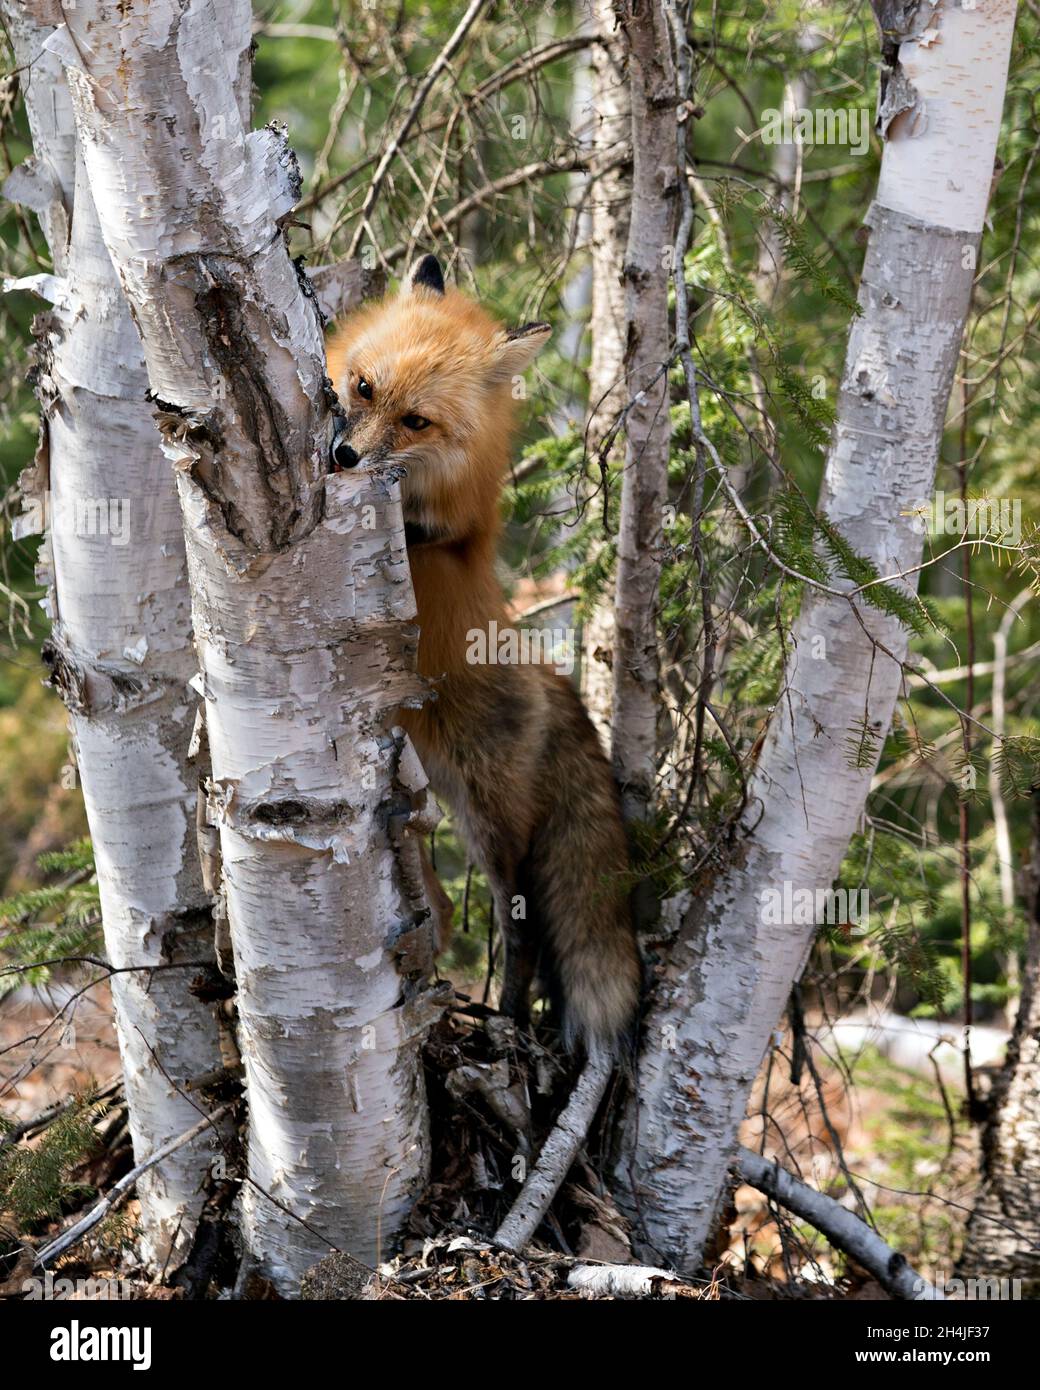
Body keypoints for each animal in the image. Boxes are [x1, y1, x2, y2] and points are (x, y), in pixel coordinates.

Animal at [325, 253, 641, 1053]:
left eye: (416, 421)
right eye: (364, 386)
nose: (343, 455)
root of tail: (550, 673)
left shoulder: (446, 530)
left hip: (488, 816)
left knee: (520, 923)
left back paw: (506, 1015)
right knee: (443, 902)